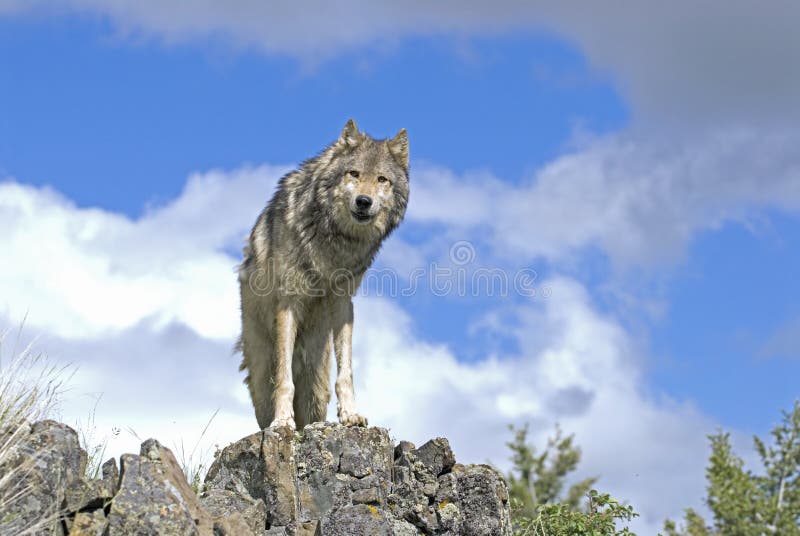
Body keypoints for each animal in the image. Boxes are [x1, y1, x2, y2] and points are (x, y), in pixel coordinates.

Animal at [238, 119, 409, 430]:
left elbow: (346, 373)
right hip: (261, 370)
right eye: (354, 173)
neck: (334, 240)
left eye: (382, 179)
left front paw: (351, 414)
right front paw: (283, 421)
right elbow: (284, 380)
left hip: (315, 381)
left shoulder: (343, 303)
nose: (363, 202)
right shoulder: (289, 302)